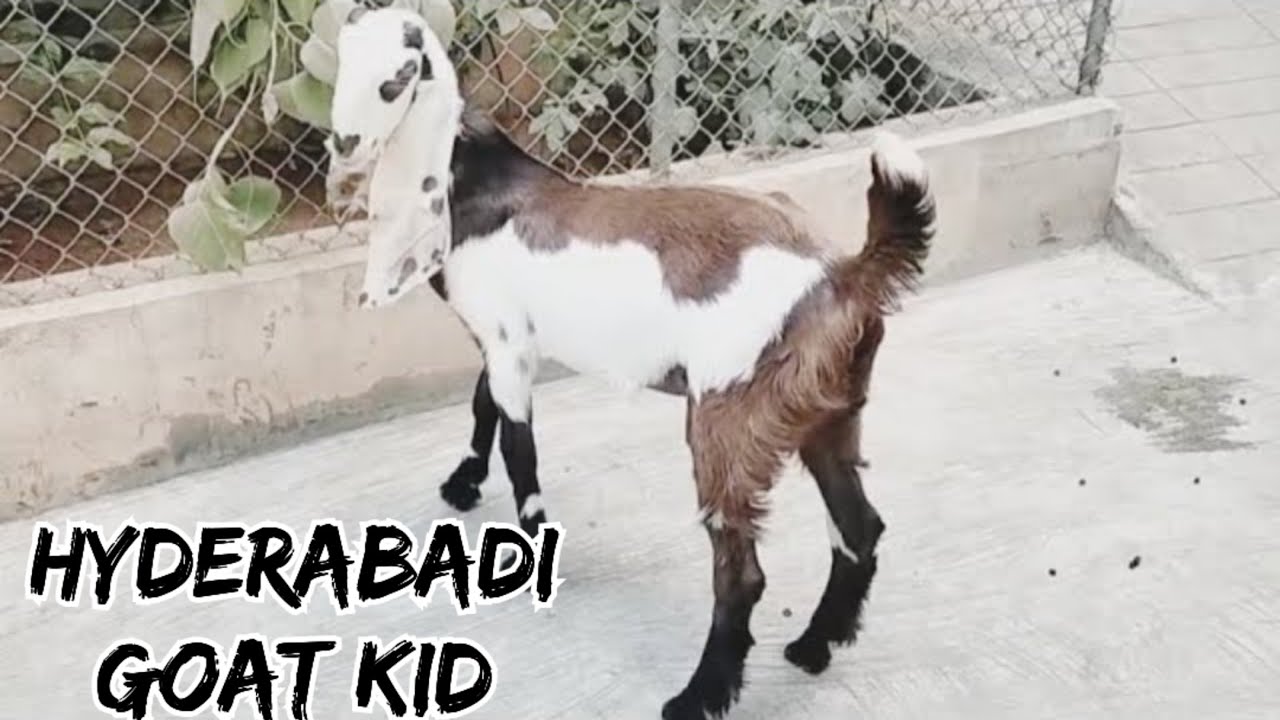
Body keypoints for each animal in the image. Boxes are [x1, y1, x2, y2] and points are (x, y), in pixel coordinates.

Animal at [329, 8, 936, 719]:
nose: (344, 142)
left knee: (742, 575)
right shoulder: (507, 339)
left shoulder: (506, 341)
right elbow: (483, 407)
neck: (481, 180)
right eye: (340, 62)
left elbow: (519, 448)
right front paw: (463, 483)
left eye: (395, 80)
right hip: (826, 414)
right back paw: (813, 647)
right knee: (858, 529)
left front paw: (528, 552)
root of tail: (843, 275)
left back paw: (699, 695)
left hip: (728, 417)